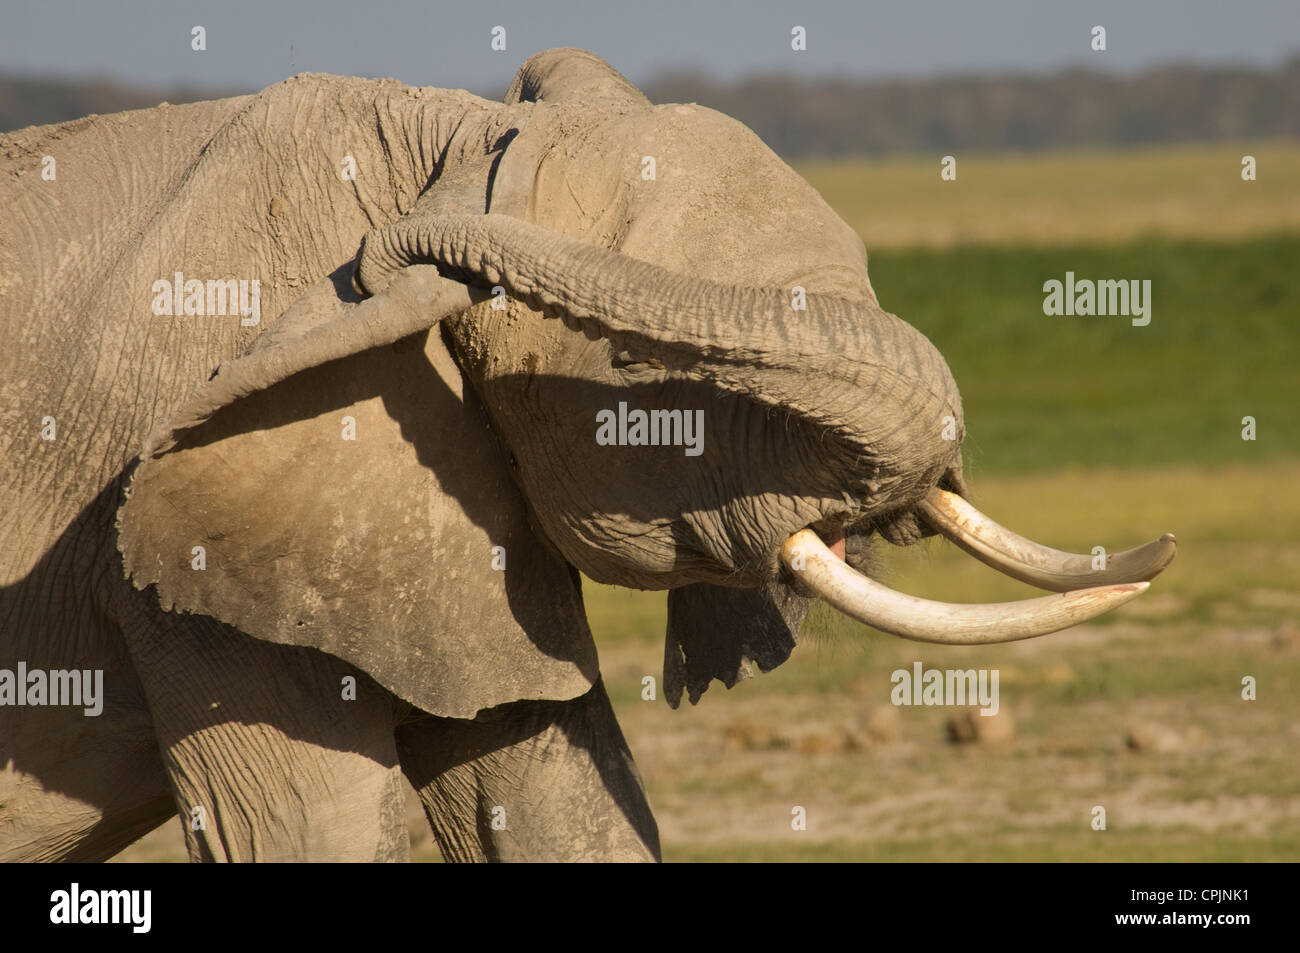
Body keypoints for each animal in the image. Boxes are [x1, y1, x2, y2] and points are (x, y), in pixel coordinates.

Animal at [0, 48, 1176, 862]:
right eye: (645, 363)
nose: (398, 259)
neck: (437, 136)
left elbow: (553, 798)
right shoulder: (171, 555)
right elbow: (304, 827)